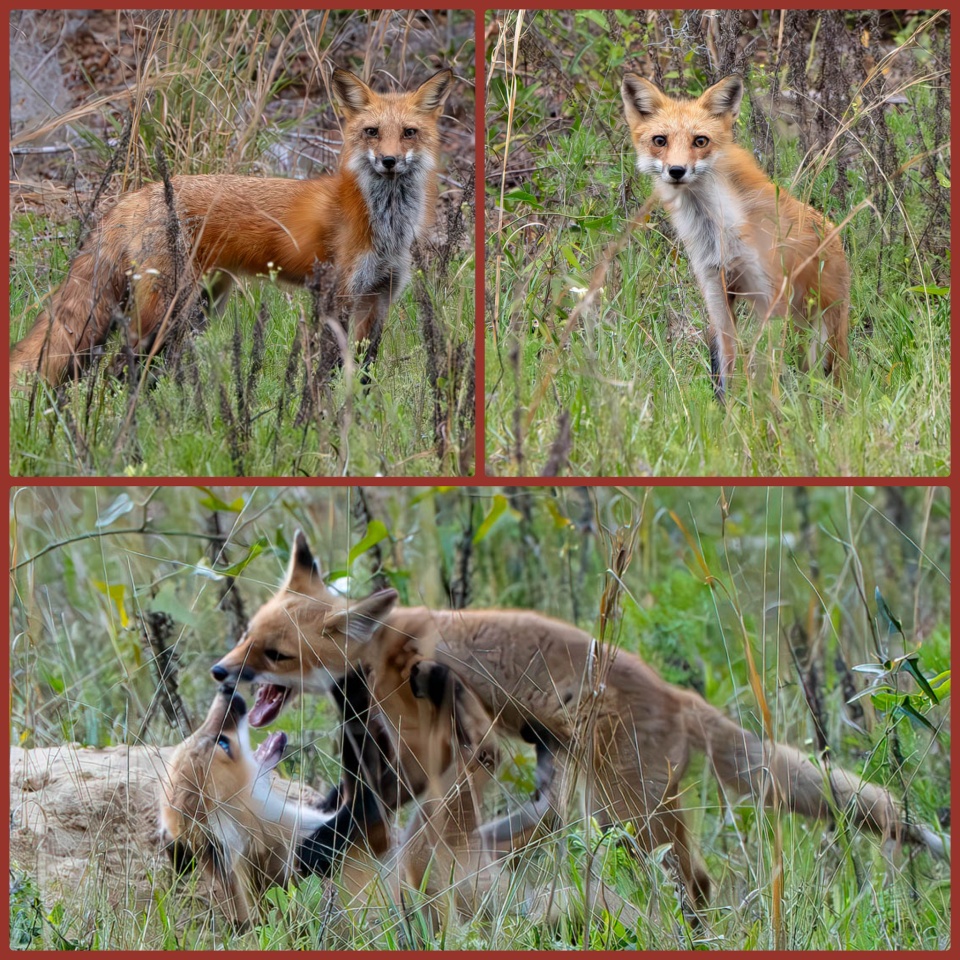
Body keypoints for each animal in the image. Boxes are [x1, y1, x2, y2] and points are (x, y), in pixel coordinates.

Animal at [10, 67, 452, 391]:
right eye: (372, 132)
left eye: (409, 132)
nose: (389, 161)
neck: (386, 226)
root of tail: (138, 193)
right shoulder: (337, 296)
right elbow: (329, 369)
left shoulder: (379, 297)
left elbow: (364, 369)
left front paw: (358, 412)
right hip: (167, 311)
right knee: (119, 369)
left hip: (202, 307)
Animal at [211, 531, 949, 918]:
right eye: (246, 637)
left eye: (273, 654)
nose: (220, 672)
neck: (385, 648)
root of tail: (681, 696)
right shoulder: (409, 756)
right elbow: (359, 808)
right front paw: (318, 841)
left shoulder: (433, 739)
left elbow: (380, 821)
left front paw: (331, 855)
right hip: (586, 792)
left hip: (633, 814)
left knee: (695, 881)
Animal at [620, 73, 850, 400]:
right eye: (659, 141)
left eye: (700, 141)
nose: (676, 170)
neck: (717, 234)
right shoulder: (715, 290)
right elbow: (725, 370)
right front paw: (729, 412)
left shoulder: (771, 295)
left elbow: (768, 368)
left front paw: (771, 411)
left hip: (824, 333)